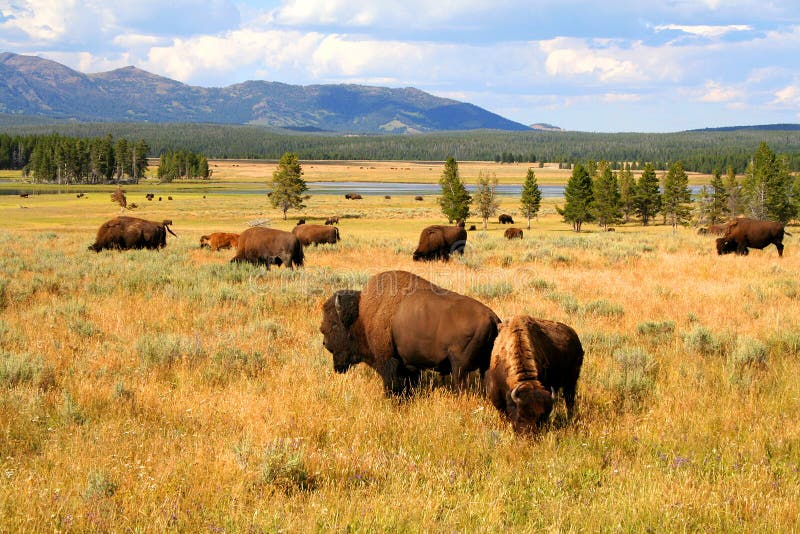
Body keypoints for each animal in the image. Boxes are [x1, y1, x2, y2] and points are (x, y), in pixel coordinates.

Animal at [319, 270, 501, 395]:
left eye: (334, 324)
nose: (325, 343)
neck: (361, 316)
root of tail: (492, 317)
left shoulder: (388, 361)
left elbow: (393, 384)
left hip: (460, 368)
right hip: (485, 366)